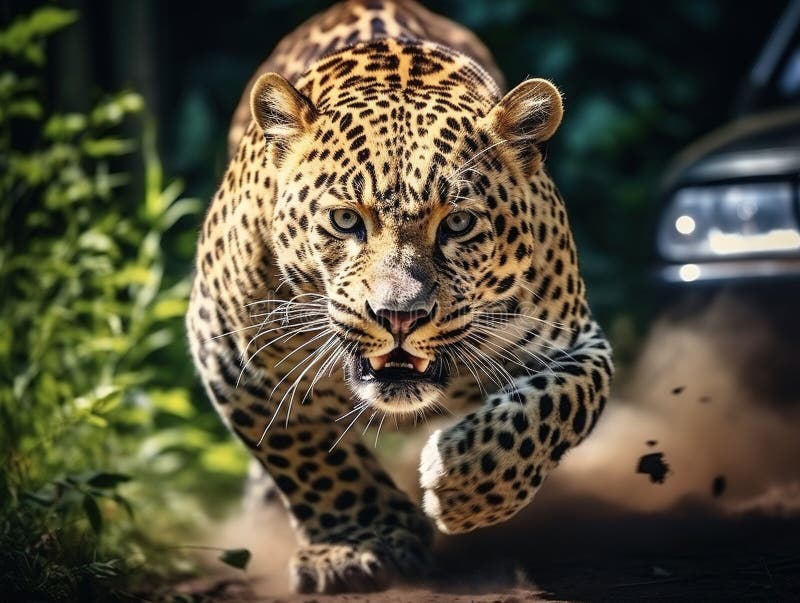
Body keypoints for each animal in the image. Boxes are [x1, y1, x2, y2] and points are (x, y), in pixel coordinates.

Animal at [186, 0, 613, 594]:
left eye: (457, 223)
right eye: (346, 220)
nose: (399, 316)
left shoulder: (576, 340)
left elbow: (557, 403)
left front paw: (467, 480)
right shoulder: (229, 354)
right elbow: (303, 449)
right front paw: (359, 543)